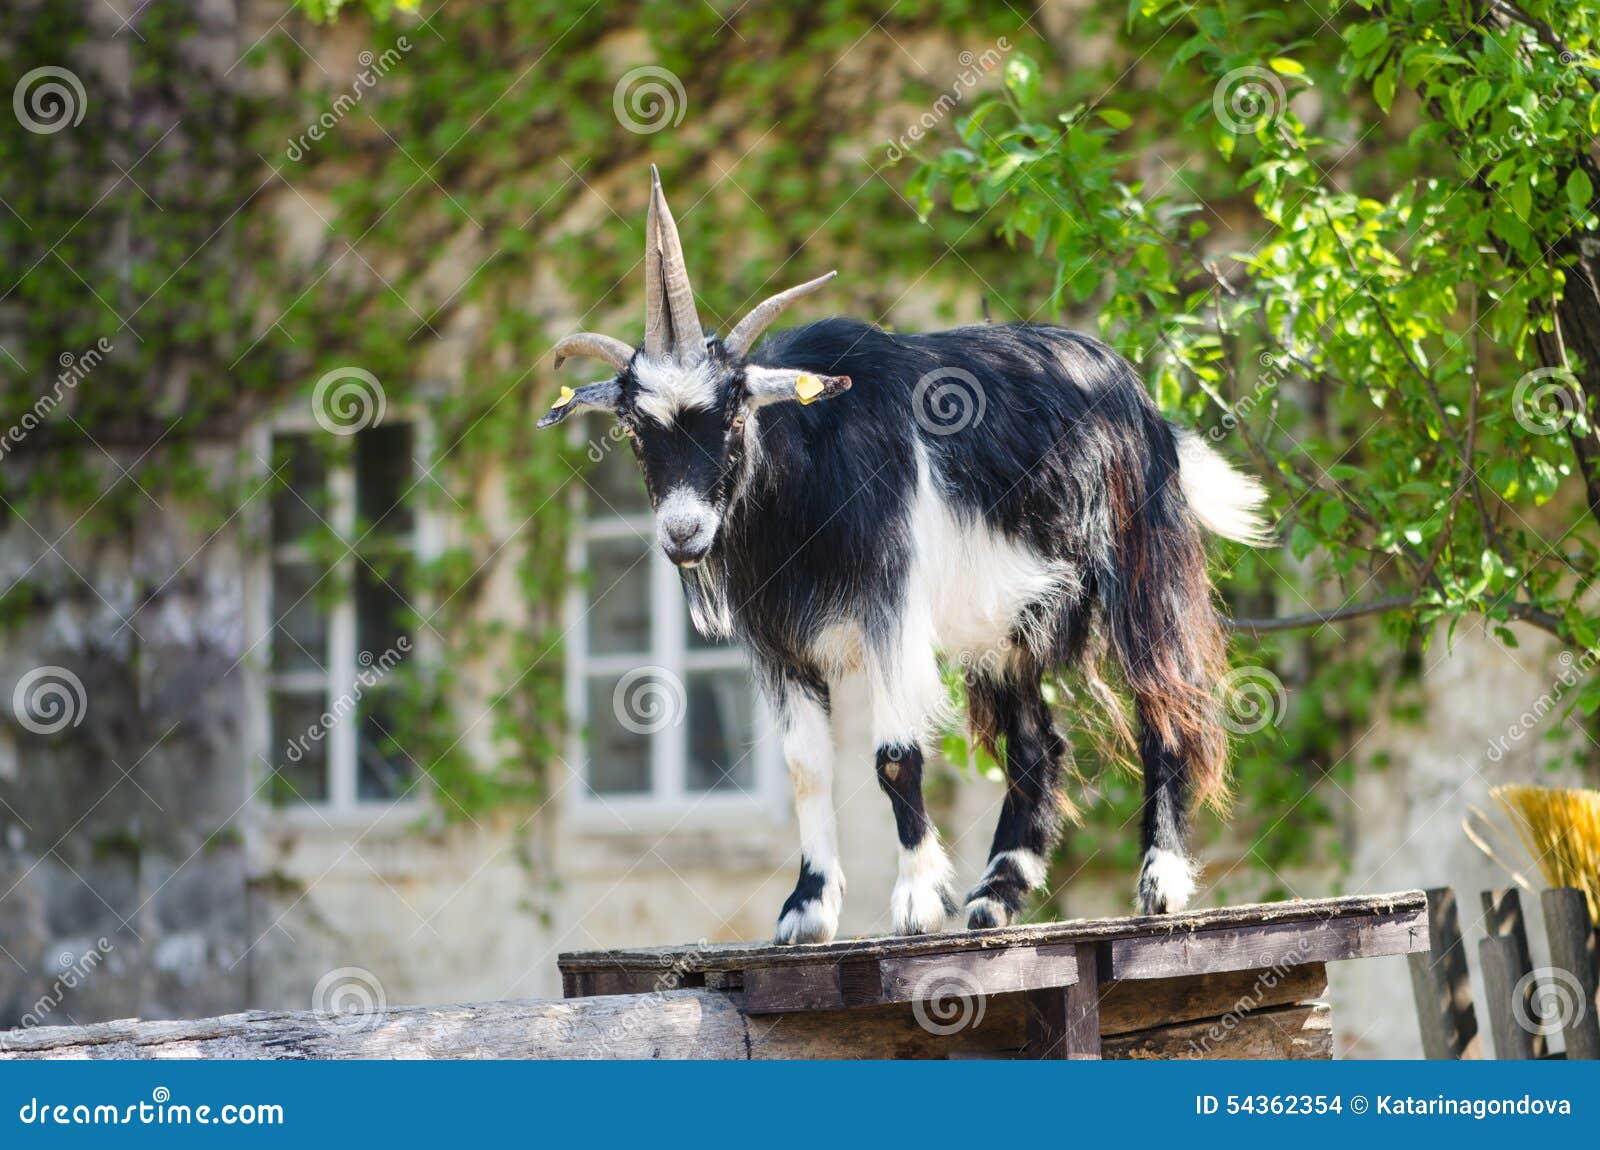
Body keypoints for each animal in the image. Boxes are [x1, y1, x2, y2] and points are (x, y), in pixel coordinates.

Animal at [539, 168, 1270, 943]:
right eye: (633, 428)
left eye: (735, 411)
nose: (683, 534)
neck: (809, 469)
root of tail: (1136, 396)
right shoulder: (777, 641)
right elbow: (806, 766)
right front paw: (808, 907)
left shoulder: (888, 604)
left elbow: (895, 758)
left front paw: (917, 901)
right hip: (1007, 621)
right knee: (1037, 746)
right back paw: (996, 894)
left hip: (1141, 566)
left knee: (1169, 704)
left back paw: (1160, 881)